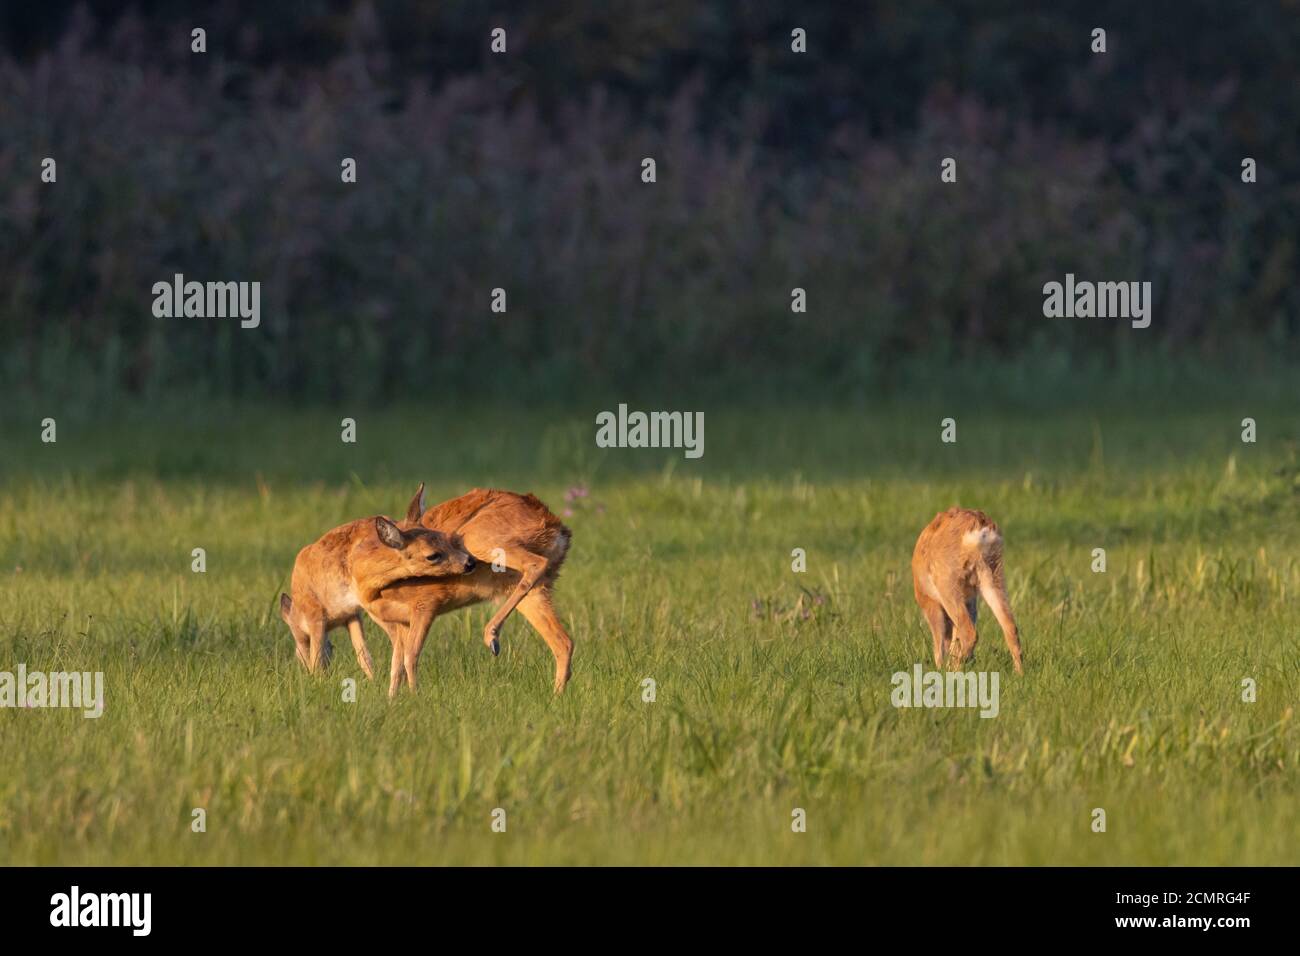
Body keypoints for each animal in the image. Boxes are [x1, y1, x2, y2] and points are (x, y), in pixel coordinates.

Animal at [279, 515, 476, 676]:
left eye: (447, 539)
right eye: (432, 555)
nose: (470, 562)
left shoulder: (335, 614)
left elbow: (345, 657)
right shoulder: (345, 615)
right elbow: (357, 657)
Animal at [357, 484, 574, 696]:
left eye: (442, 539)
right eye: (433, 554)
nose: (469, 563)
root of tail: (558, 529)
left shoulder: (426, 604)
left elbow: (410, 656)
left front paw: (415, 698)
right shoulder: (401, 622)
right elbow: (396, 665)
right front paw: (393, 701)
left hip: (476, 539)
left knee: (536, 563)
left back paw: (491, 636)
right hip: (533, 590)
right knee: (564, 643)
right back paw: (556, 696)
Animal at [911, 507, 1023, 674]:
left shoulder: (929, 601)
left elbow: (939, 642)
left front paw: (940, 667)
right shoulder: (970, 599)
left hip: (948, 582)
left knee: (968, 631)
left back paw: (953, 669)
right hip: (993, 573)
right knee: (1010, 626)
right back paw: (1020, 674)